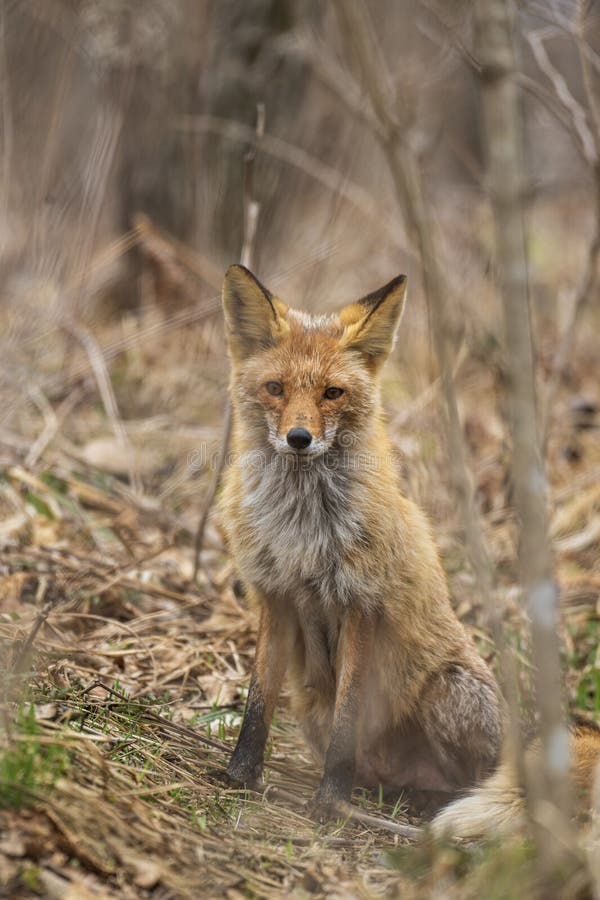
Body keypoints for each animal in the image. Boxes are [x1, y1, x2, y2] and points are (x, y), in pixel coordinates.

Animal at [218, 263, 505, 819]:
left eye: (332, 393)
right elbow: (257, 705)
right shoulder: (276, 596)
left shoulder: (361, 603)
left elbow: (348, 720)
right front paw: (238, 776)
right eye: (275, 388)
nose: (299, 438)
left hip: (449, 691)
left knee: (476, 782)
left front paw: (330, 801)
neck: (301, 527)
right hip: (309, 703)